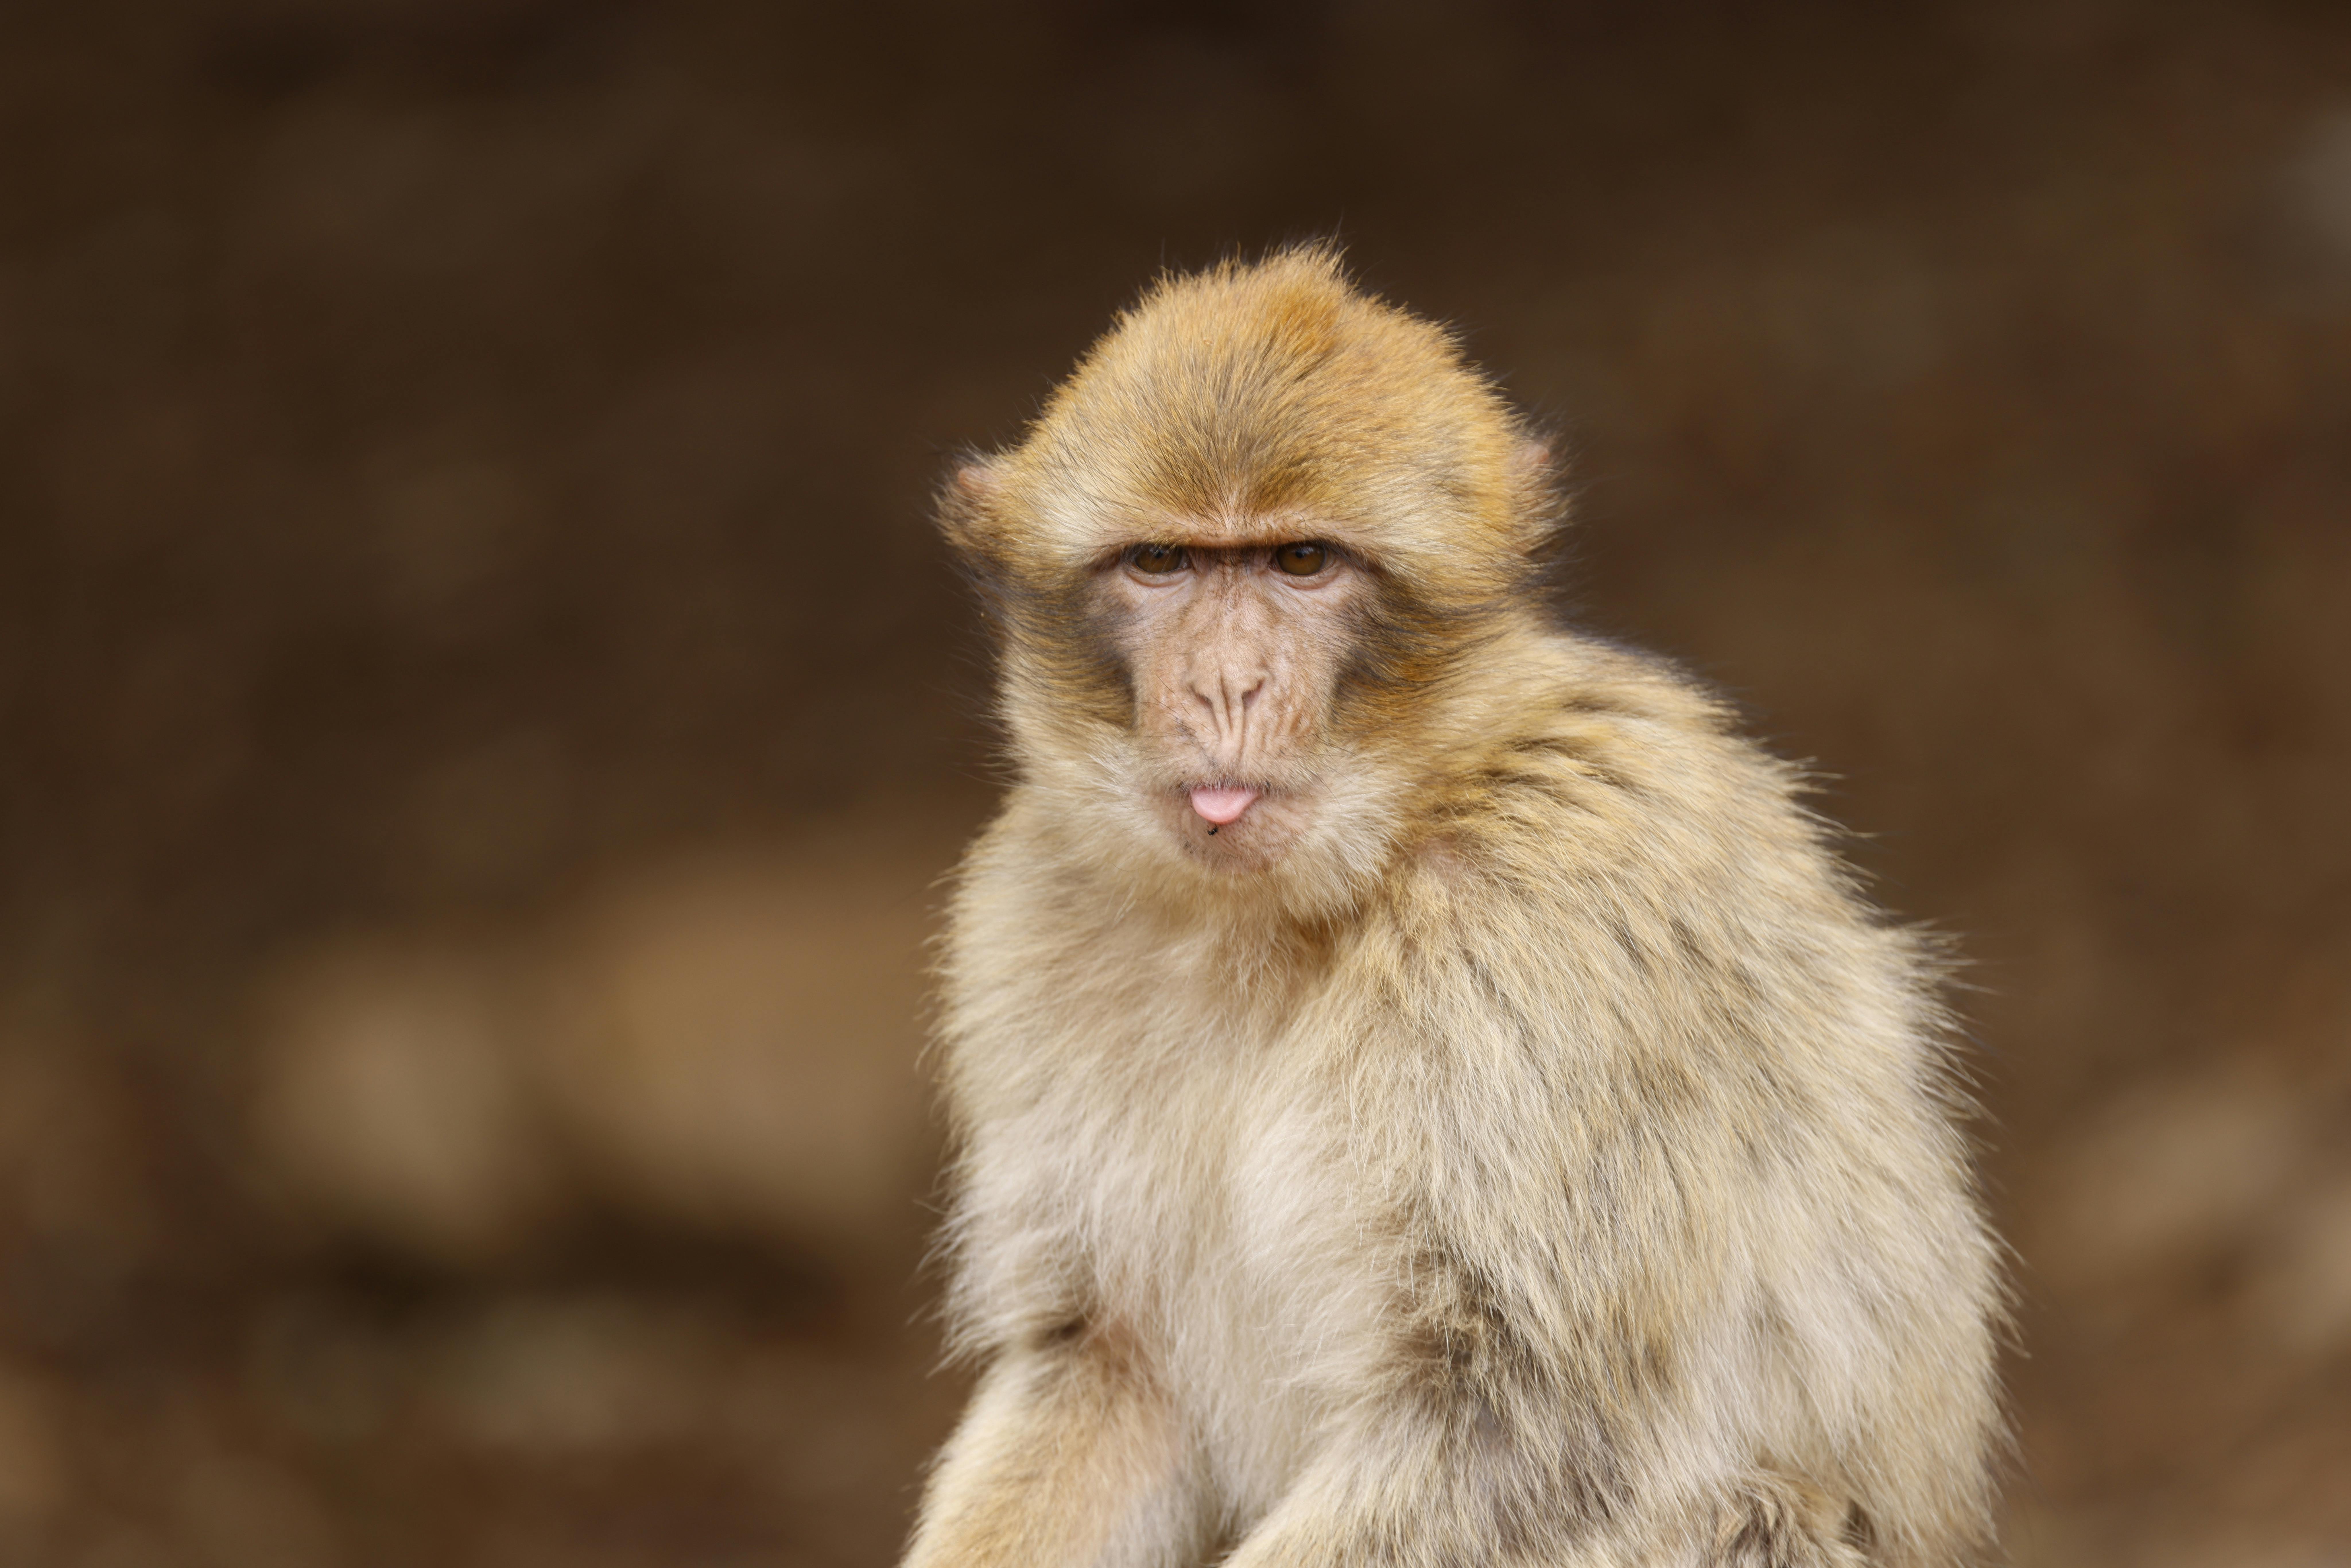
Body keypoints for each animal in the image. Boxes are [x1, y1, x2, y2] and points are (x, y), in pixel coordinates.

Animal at [907, 247, 2004, 1568]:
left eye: (1300, 563)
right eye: (1161, 564)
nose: (1226, 685)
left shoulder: (1547, 916)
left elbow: (1524, 1416)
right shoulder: (1033, 907)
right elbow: (1102, 1365)